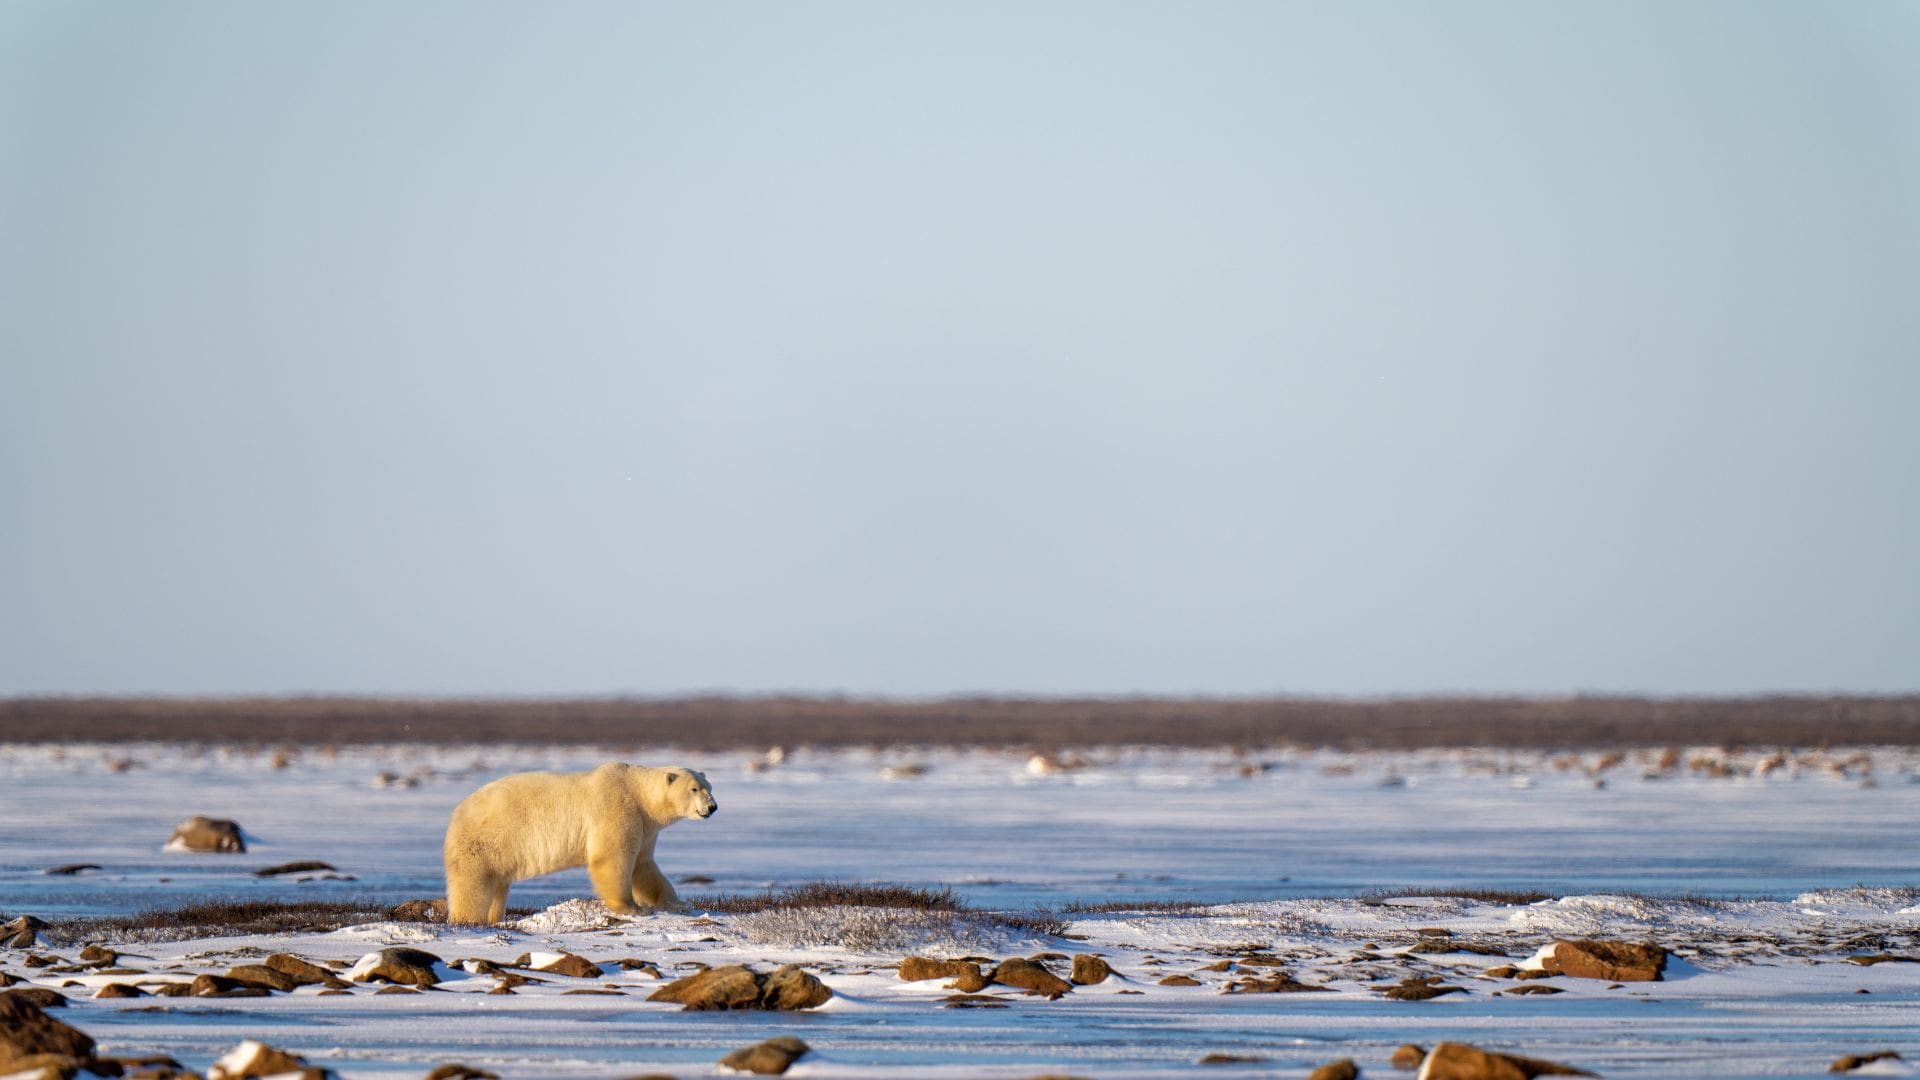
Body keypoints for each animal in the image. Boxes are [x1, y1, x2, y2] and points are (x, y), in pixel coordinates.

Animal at [442, 762, 717, 925]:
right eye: (694, 789)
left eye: (709, 787)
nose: (712, 807)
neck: (638, 793)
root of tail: (456, 813)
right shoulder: (617, 809)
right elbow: (611, 858)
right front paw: (631, 908)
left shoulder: (645, 826)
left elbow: (644, 866)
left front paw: (677, 903)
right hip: (485, 840)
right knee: (473, 884)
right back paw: (467, 919)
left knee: (498, 884)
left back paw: (493, 918)